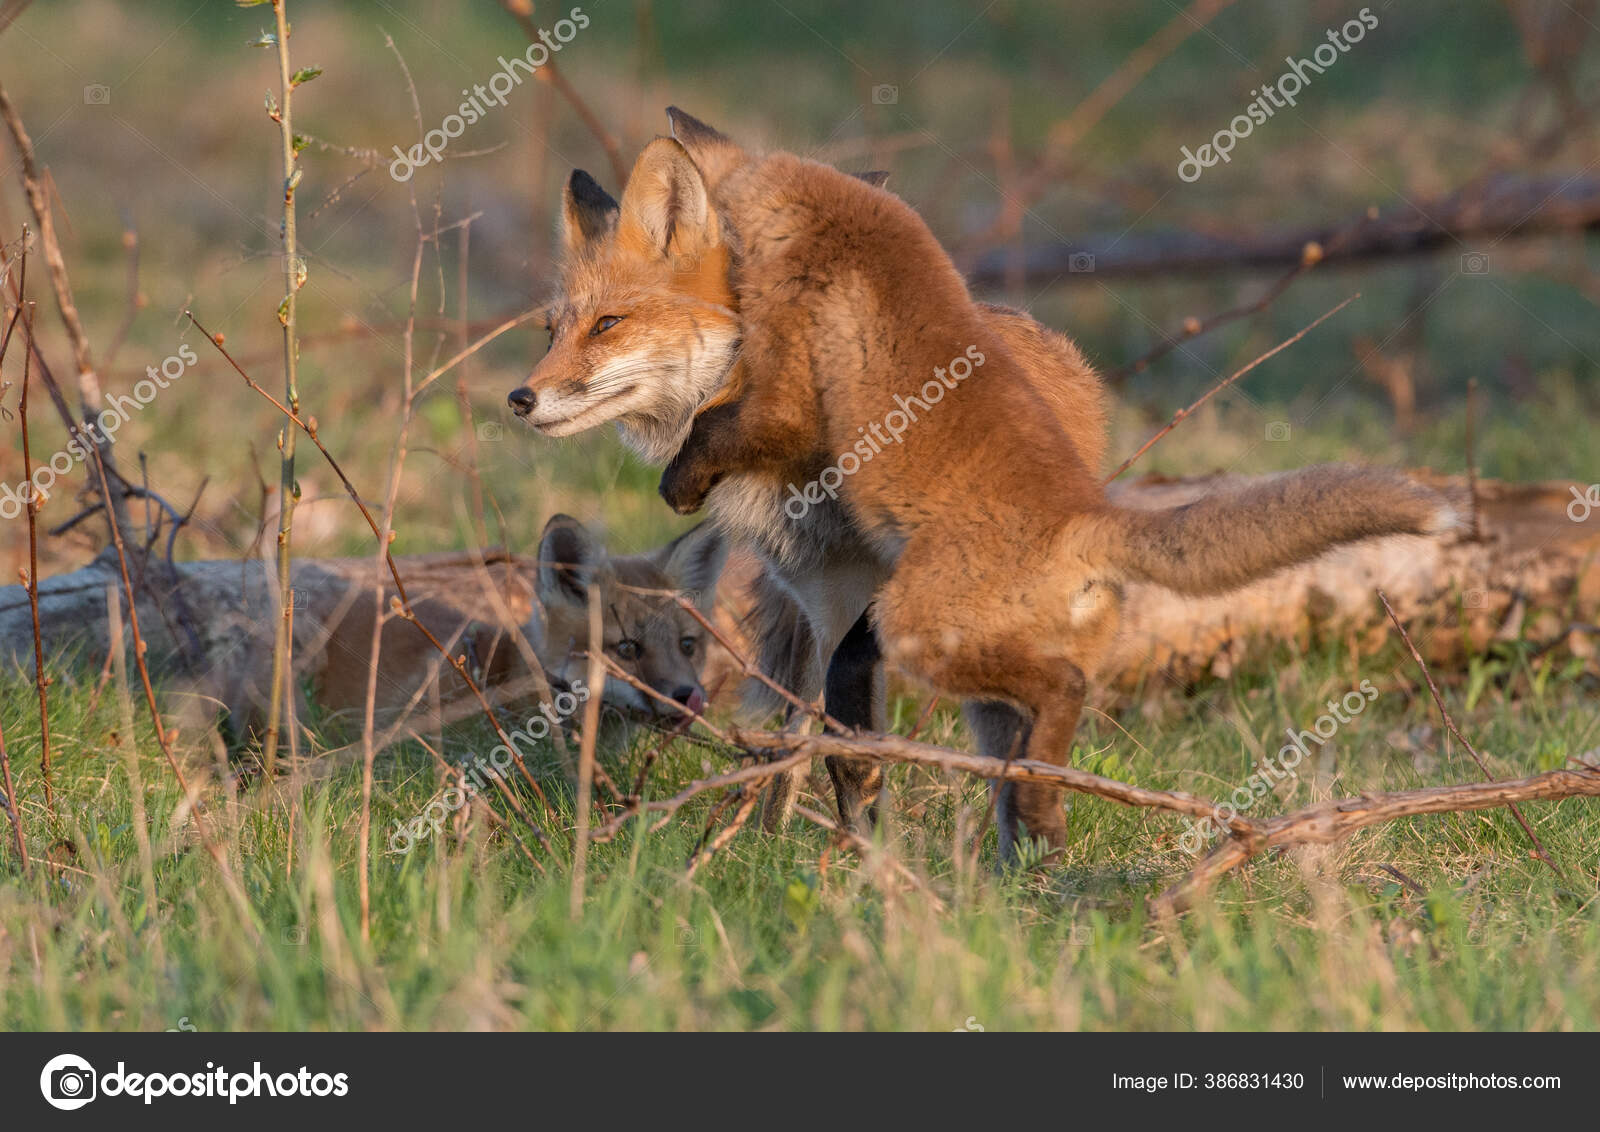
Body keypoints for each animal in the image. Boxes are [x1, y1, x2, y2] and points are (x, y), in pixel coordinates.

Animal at [509, 109, 1459, 860]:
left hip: (927, 624)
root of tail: (1087, 513)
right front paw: (791, 846)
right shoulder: (816, 598)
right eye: (552, 329)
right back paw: (1025, 860)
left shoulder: (842, 559)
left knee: (1044, 702)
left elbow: (841, 740)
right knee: (1003, 747)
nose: (521, 398)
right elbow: (809, 741)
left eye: (609, 324)